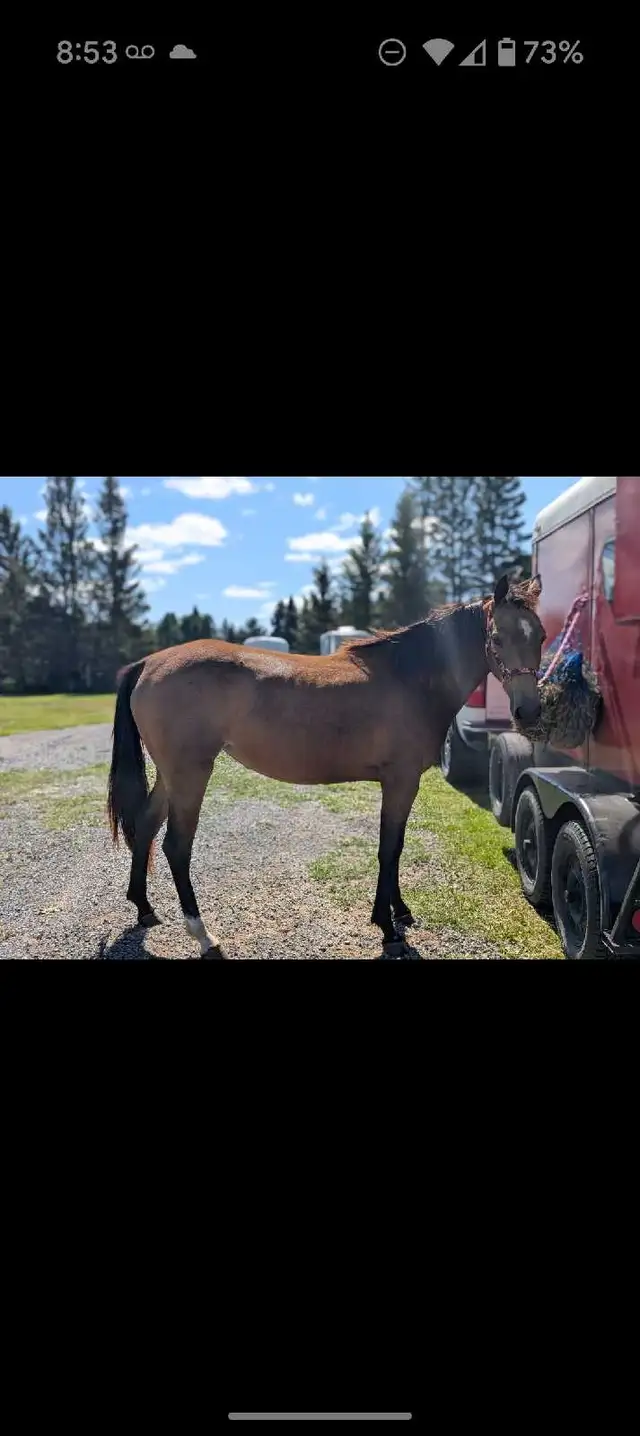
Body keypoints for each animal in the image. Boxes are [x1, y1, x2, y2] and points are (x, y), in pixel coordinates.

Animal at [107, 573, 545, 959]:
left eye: (540, 636)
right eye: (497, 638)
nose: (528, 712)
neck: (411, 678)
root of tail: (148, 663)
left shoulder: (402, 784)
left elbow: (397, 847)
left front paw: (400, 912)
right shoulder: (400, 781)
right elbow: (389, 849)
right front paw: (387, 930)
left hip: (170, 774)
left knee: (146, 824)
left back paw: (144, 909)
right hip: (190, 774)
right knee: (176, 846)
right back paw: (204, 936)